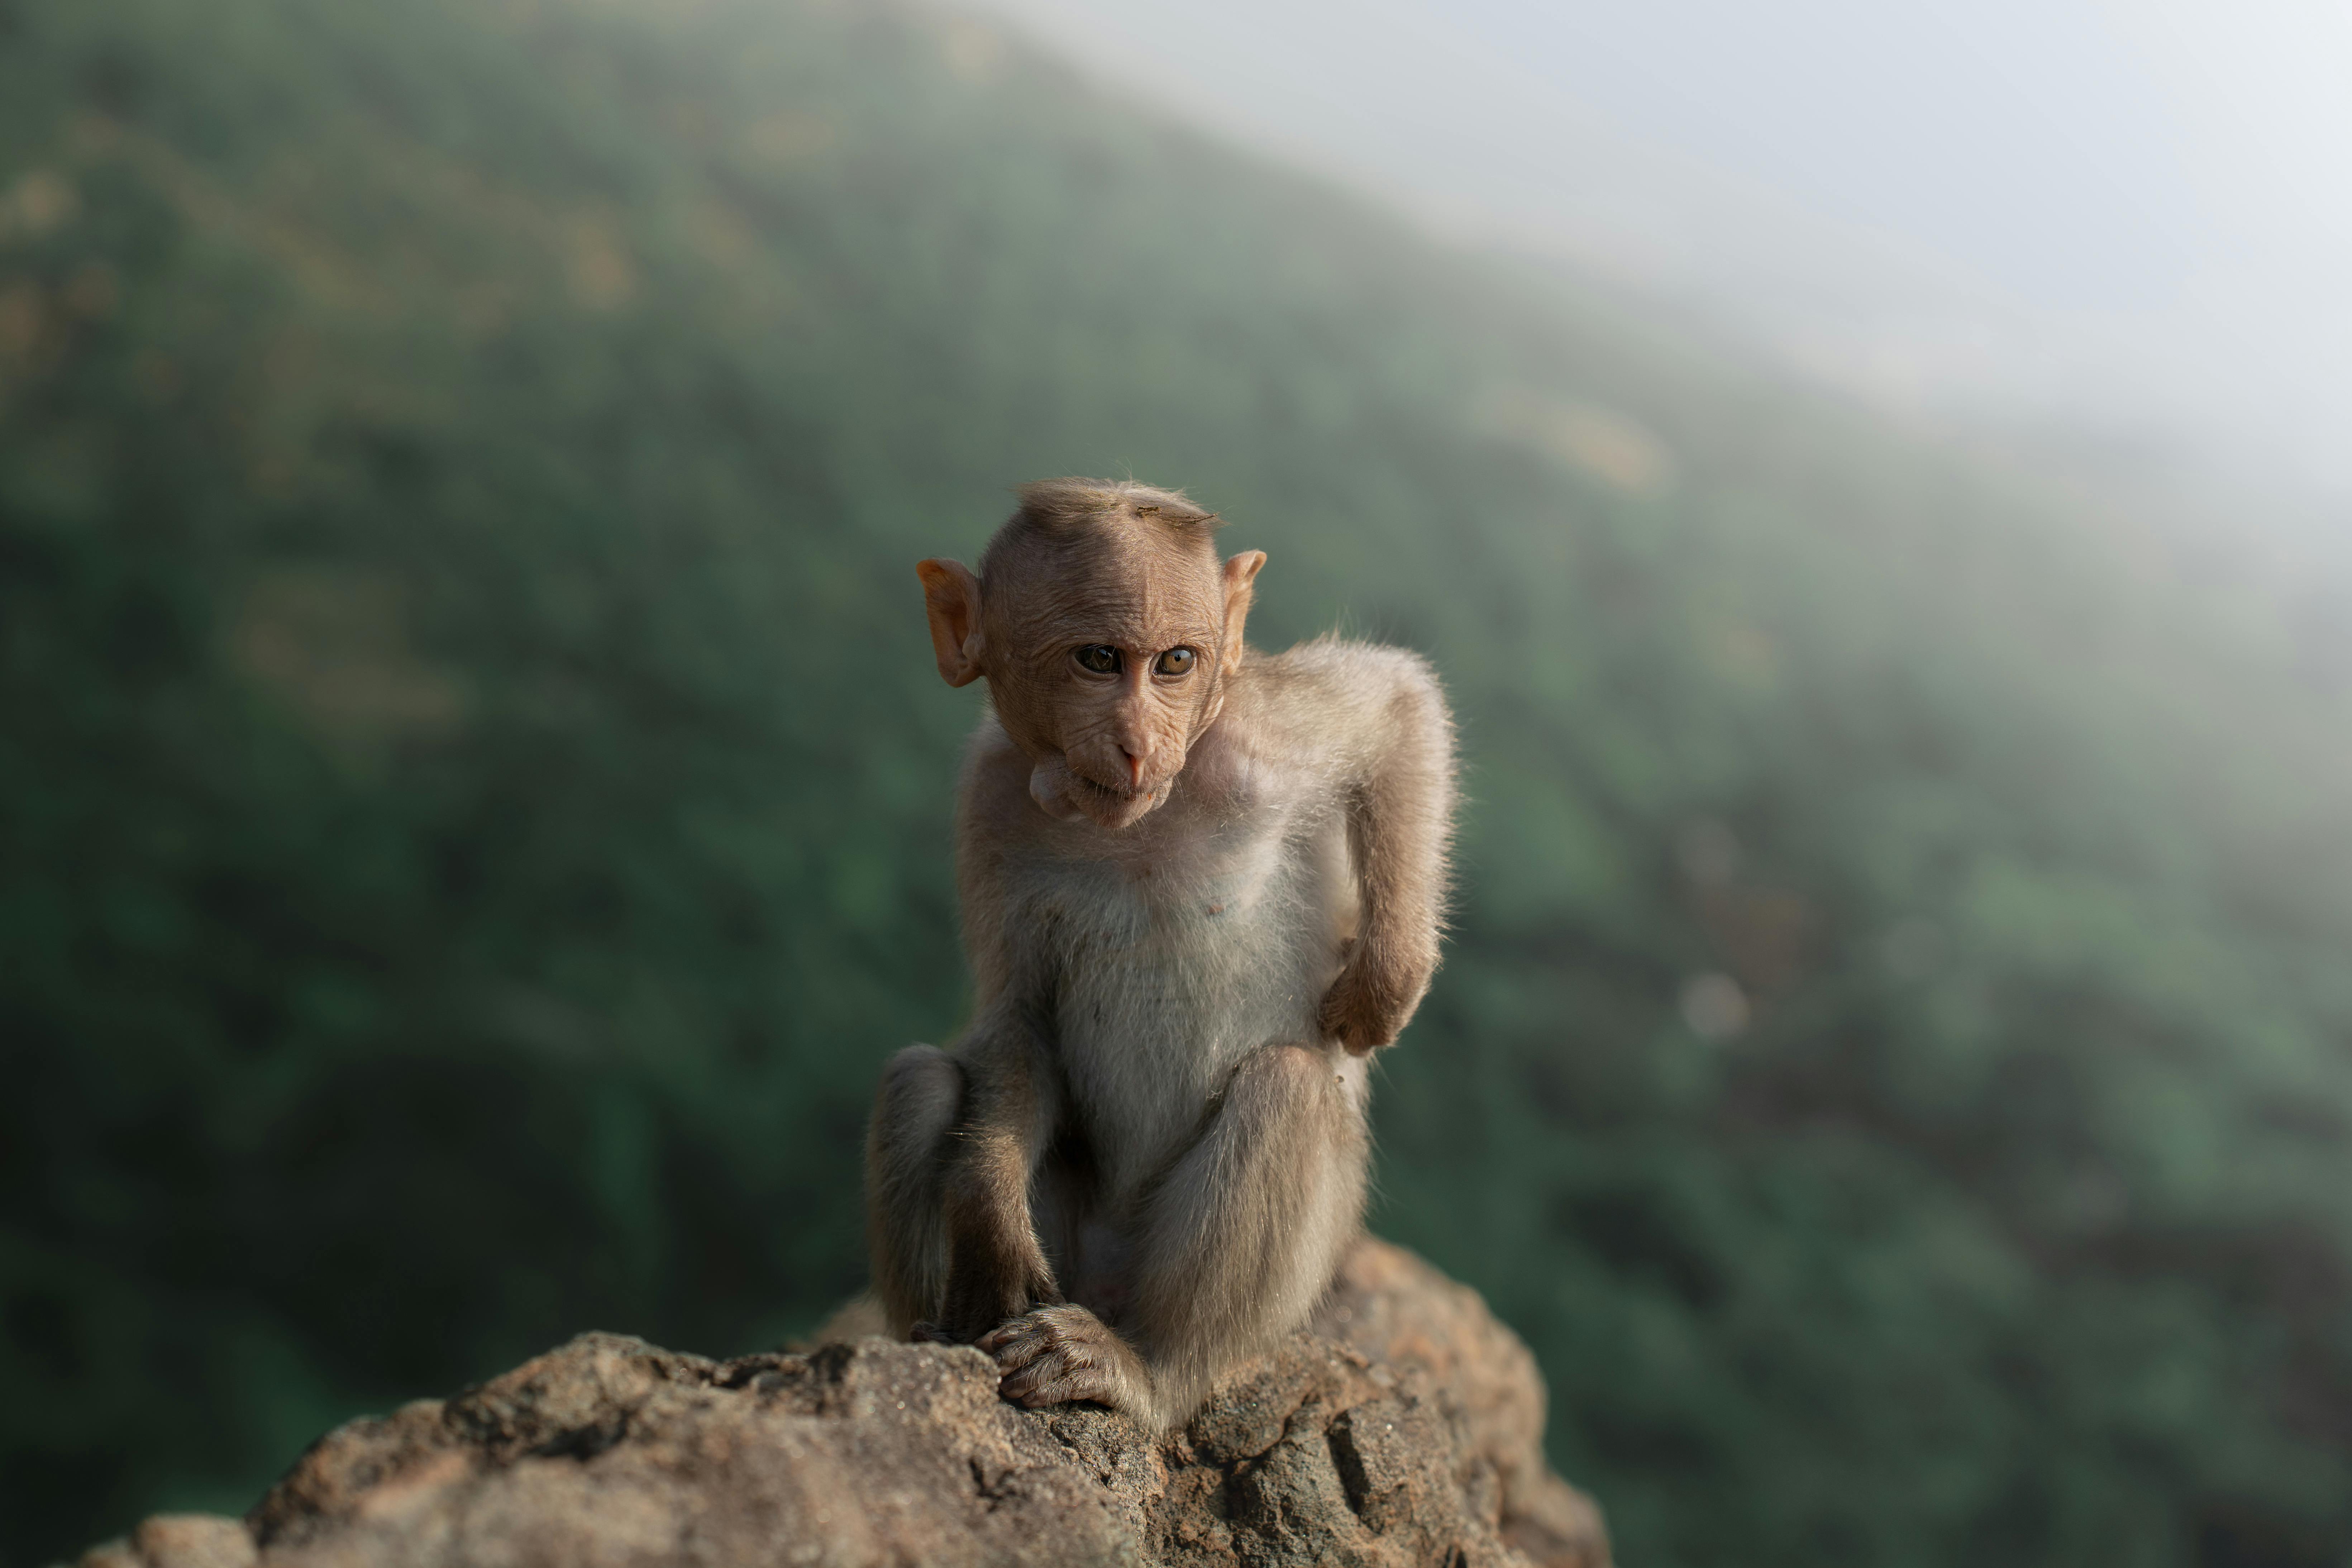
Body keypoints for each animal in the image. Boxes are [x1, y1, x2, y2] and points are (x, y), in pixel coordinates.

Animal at [864, 478, 1457, 1432]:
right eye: (1097, 659)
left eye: (1176, 662)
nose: (1140, 742)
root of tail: (1104, 1289)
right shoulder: (986, 799)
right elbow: (1018, 1012)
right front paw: (989, 1214)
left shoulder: (1255, 733)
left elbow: (1400, 710)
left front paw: (1384, 978)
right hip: (1067, 1250)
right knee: (920, 1078)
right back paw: (942, 1333)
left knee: (1287, 1092)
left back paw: (1148, 1370)